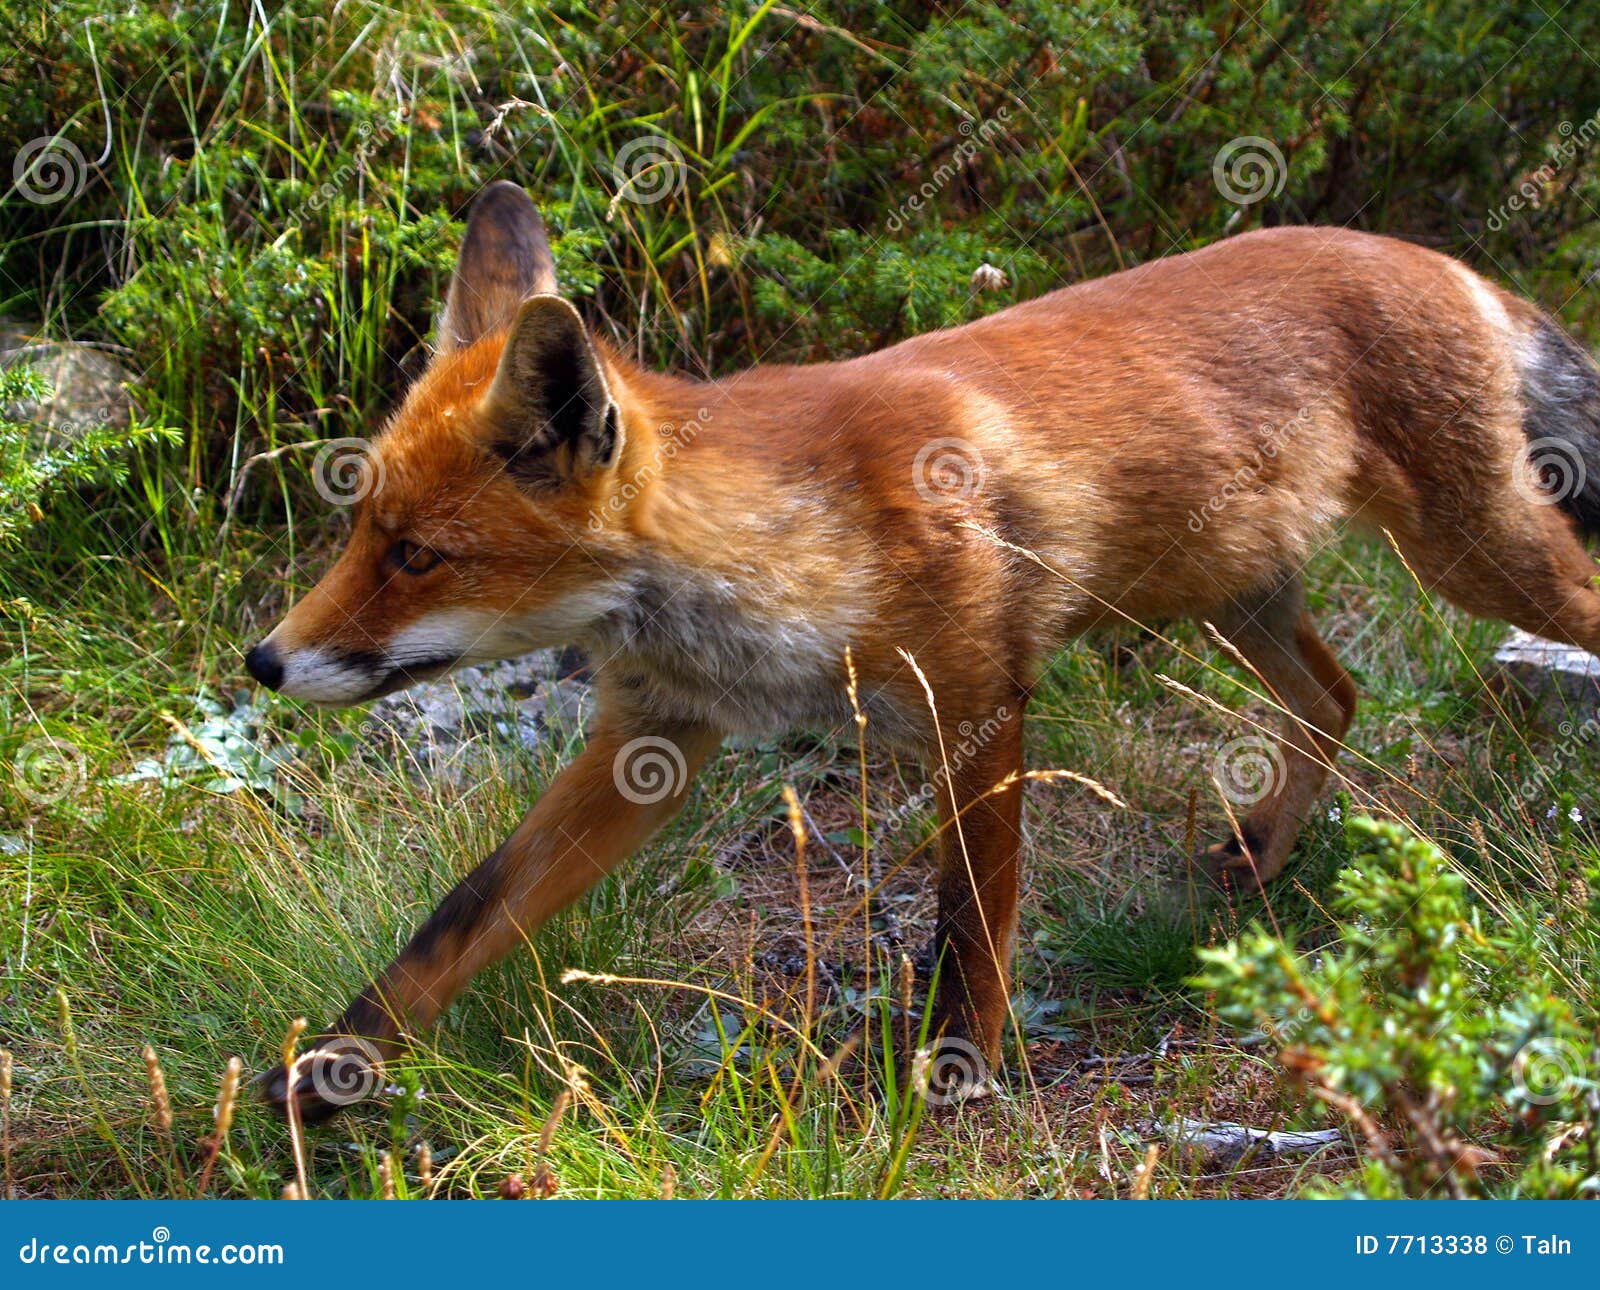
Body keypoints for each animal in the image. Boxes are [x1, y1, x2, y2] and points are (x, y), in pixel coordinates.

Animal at [251, 181, 1600, 1119]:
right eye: (361, 528)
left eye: (418, 556)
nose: (264, 662)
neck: (784, 556)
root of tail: (1442, 261)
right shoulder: (650, 744)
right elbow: (460, 918)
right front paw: (330, 1070)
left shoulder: (981, 704)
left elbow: (969, 923)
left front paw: (957, 1076)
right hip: (1236, 593)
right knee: (1338, 694)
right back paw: (1263, 854)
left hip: (1475, 557)